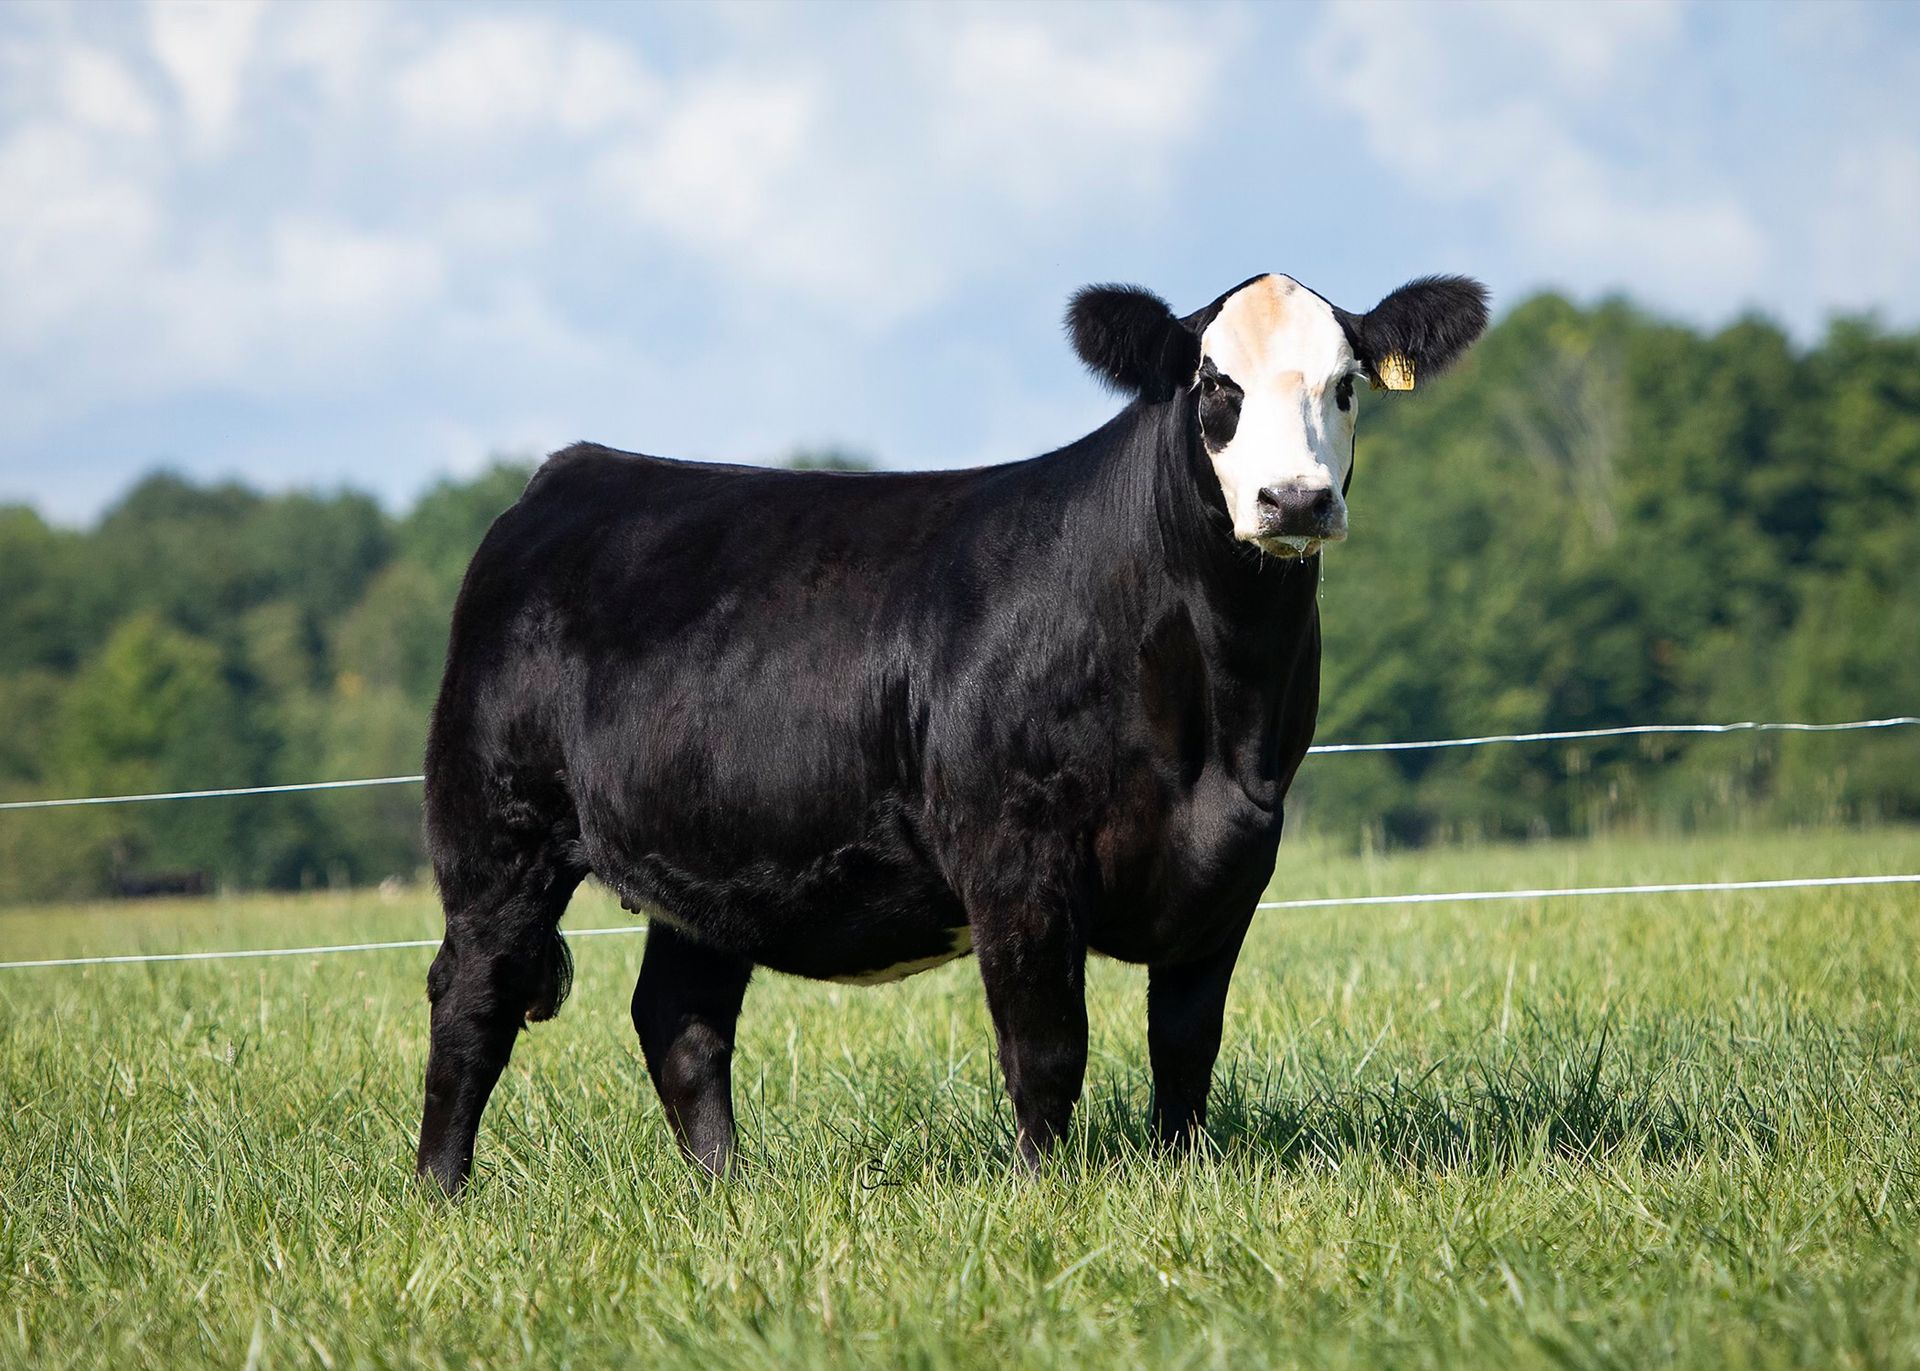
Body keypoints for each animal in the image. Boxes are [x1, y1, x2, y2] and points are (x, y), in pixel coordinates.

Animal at [415, 271, 1489, 1192]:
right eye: (1214, 383)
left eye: (1346, 384)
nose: (1295, 498)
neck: (1213, 722)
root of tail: (572, 474)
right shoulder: (1014, 852)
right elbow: (1046, 1046)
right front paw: (1044, 1193)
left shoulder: (1236, 859)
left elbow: (1185, 1046)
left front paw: (1180, 1176)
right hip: (497, 825)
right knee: (473, 997)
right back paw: (440, 1195)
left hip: (707, 854)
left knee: (680, 1017)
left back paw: (727, 1191)